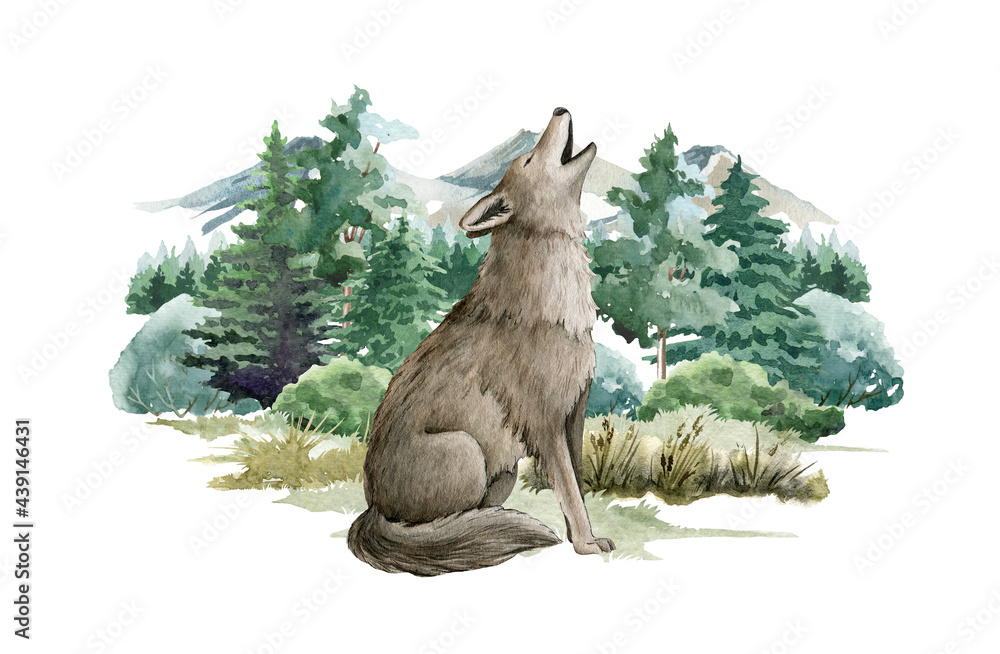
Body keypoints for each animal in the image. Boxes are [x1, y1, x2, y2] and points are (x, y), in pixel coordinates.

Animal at [347, 108, 615, 576]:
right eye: (528, 159)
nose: (559, 109)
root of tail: (372, 510)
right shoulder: (545, 423)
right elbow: (568, 489)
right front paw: (585, 545)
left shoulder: (575, 414)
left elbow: (578, 486)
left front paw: (585, 536)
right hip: (467, 451)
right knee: (430, 529)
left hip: (501, 474)